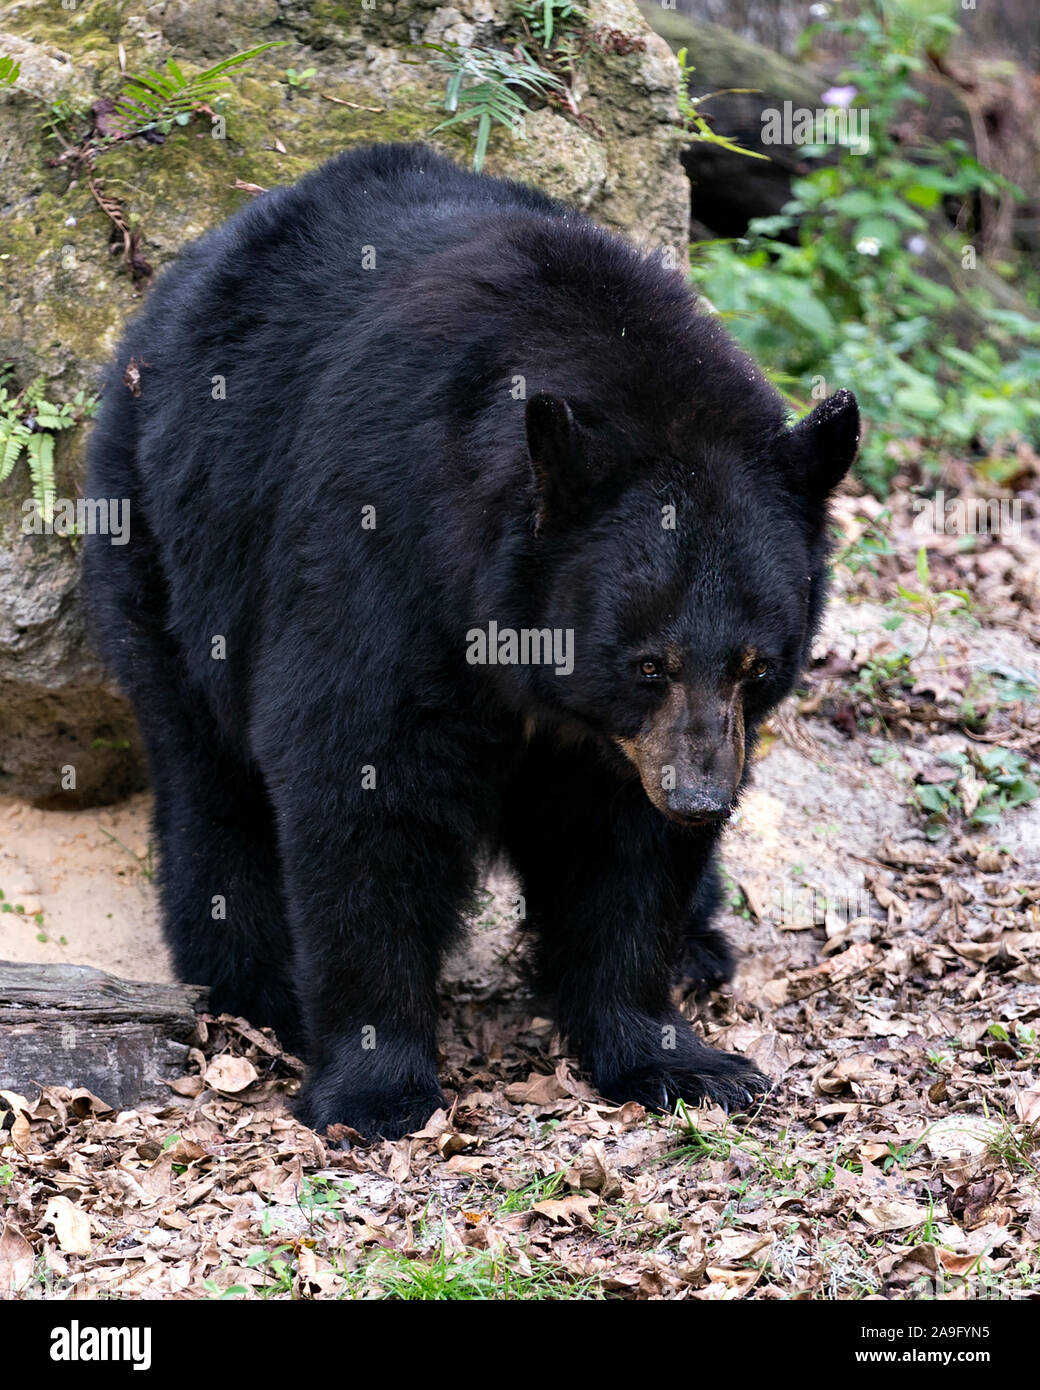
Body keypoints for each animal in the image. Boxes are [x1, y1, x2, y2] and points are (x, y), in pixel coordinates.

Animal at [83, 143, 859, 1140]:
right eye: (648, 663)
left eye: (759, 665)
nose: (699, 801)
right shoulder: (384, 545)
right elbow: (361, 777)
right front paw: (375, 1087)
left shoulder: (634, 743)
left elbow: (625, 850)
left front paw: (676, 1056)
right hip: (170, 534)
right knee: (206, 771)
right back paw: (253, 985)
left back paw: (700, 944)